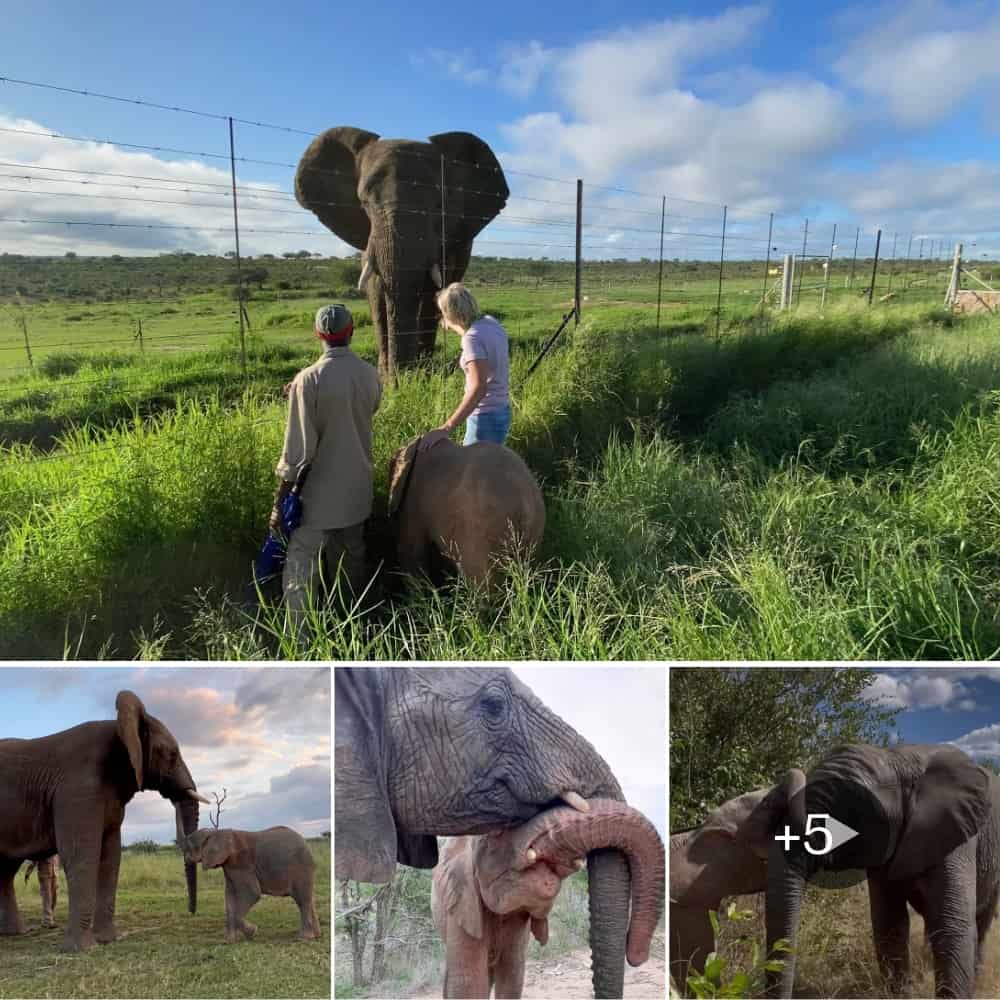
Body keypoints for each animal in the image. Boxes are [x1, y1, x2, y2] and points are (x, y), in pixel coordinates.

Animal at [0, 690, 209, 952]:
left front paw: (108, 940)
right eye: (171, 754)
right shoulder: (78, 789)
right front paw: (82, 949)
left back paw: (13, 934)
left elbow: (111, 857)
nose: (191, 912)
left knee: (5, 871)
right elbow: (81, 855)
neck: (118, 728)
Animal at [183, 826, 320, 943]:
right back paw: (316, 935)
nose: (187, 859)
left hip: (301, 867)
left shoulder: (241, 863)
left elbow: (252, 893)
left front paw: (252, 932)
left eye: (192, 847)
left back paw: (304, 938)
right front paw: (229, 941)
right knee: (308, 899)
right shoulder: (230, 866)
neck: (216, 832)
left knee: (302, 900)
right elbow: (229, 898)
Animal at [294, 126, 509, 374]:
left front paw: (421, 374)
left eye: (439, 205)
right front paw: (387, 376)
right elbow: (376, 291)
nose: (402, 374)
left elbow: (431, 293)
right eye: (364, 202)